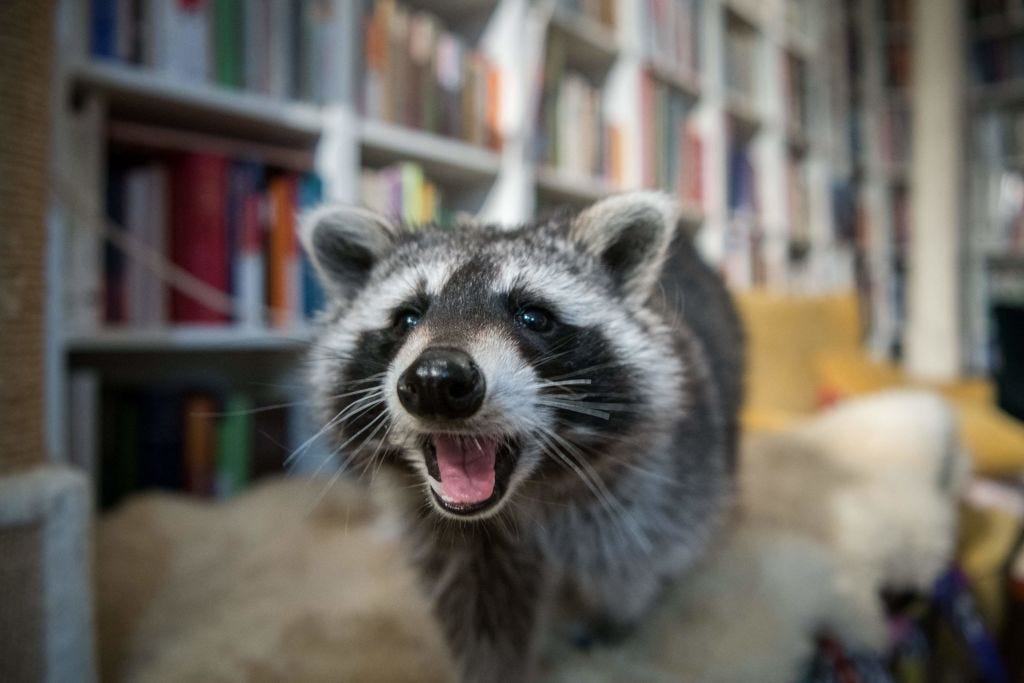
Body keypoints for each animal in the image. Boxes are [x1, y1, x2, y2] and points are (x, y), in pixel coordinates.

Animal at [300, 192, 744, 682]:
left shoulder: (652, 481)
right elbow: (481, 614)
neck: (522, 496)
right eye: (407, 318)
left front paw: (614, 617)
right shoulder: (455, 538)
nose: (437, 380)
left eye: (533, 316)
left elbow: (634, 555)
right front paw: (491, 669)